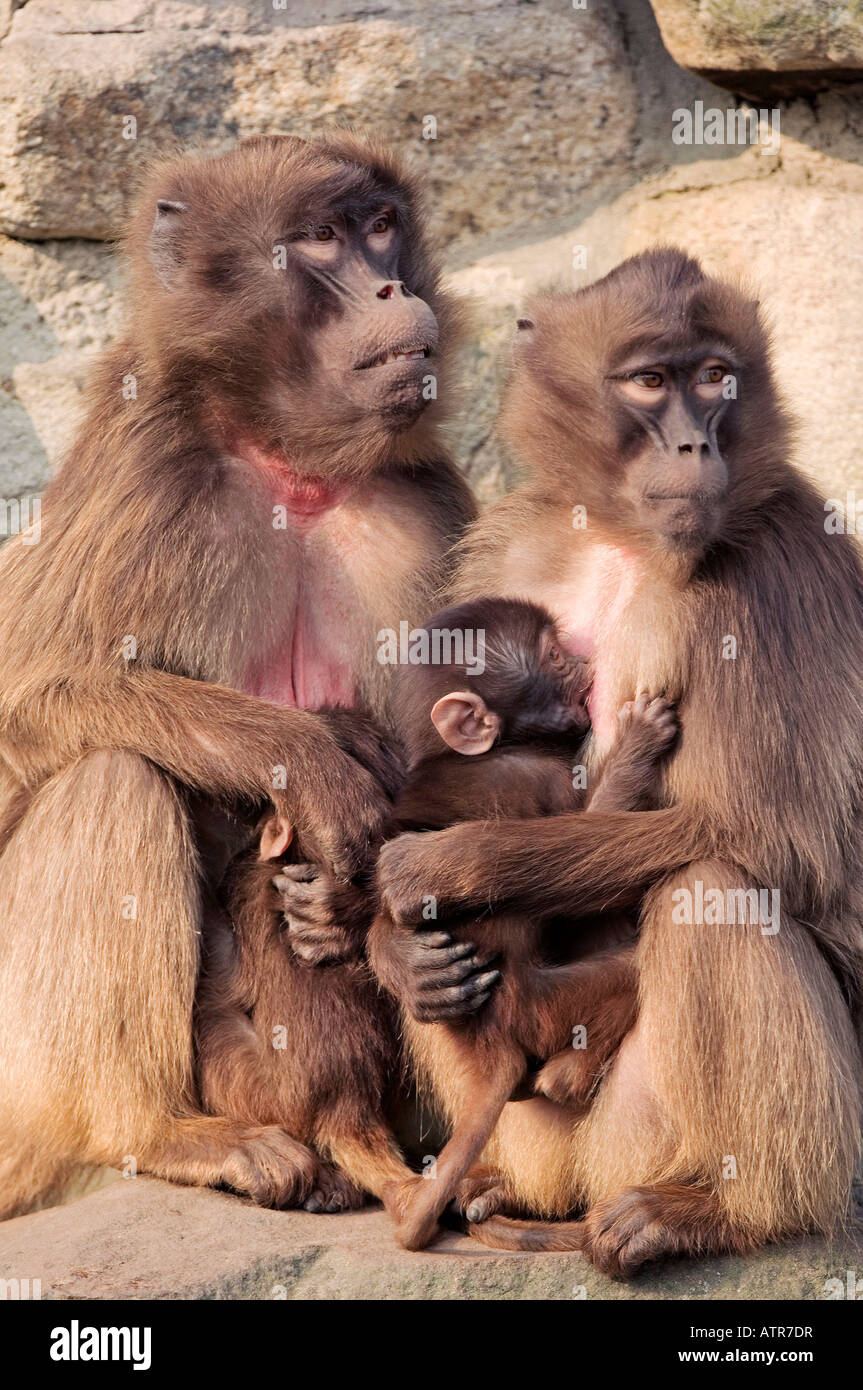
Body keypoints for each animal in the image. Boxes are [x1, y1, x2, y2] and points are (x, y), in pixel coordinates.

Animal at [0, 133, 477, 1218]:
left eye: (380, 224)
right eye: (321, 236)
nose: (389, 285)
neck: (288, 462)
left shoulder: (423, 503)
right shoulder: (147, 466)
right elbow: (29, 694)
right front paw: (308, 766)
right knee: (115, 776)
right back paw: (158, 1134)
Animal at [368, 596, 679, 1250]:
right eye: (555, 658)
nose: (586, 662)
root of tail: (490, 1043)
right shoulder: (537, 776)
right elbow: (593, 833)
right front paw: (637, 745)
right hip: (543, 1009)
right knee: (631, 969)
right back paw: (568, 1075)